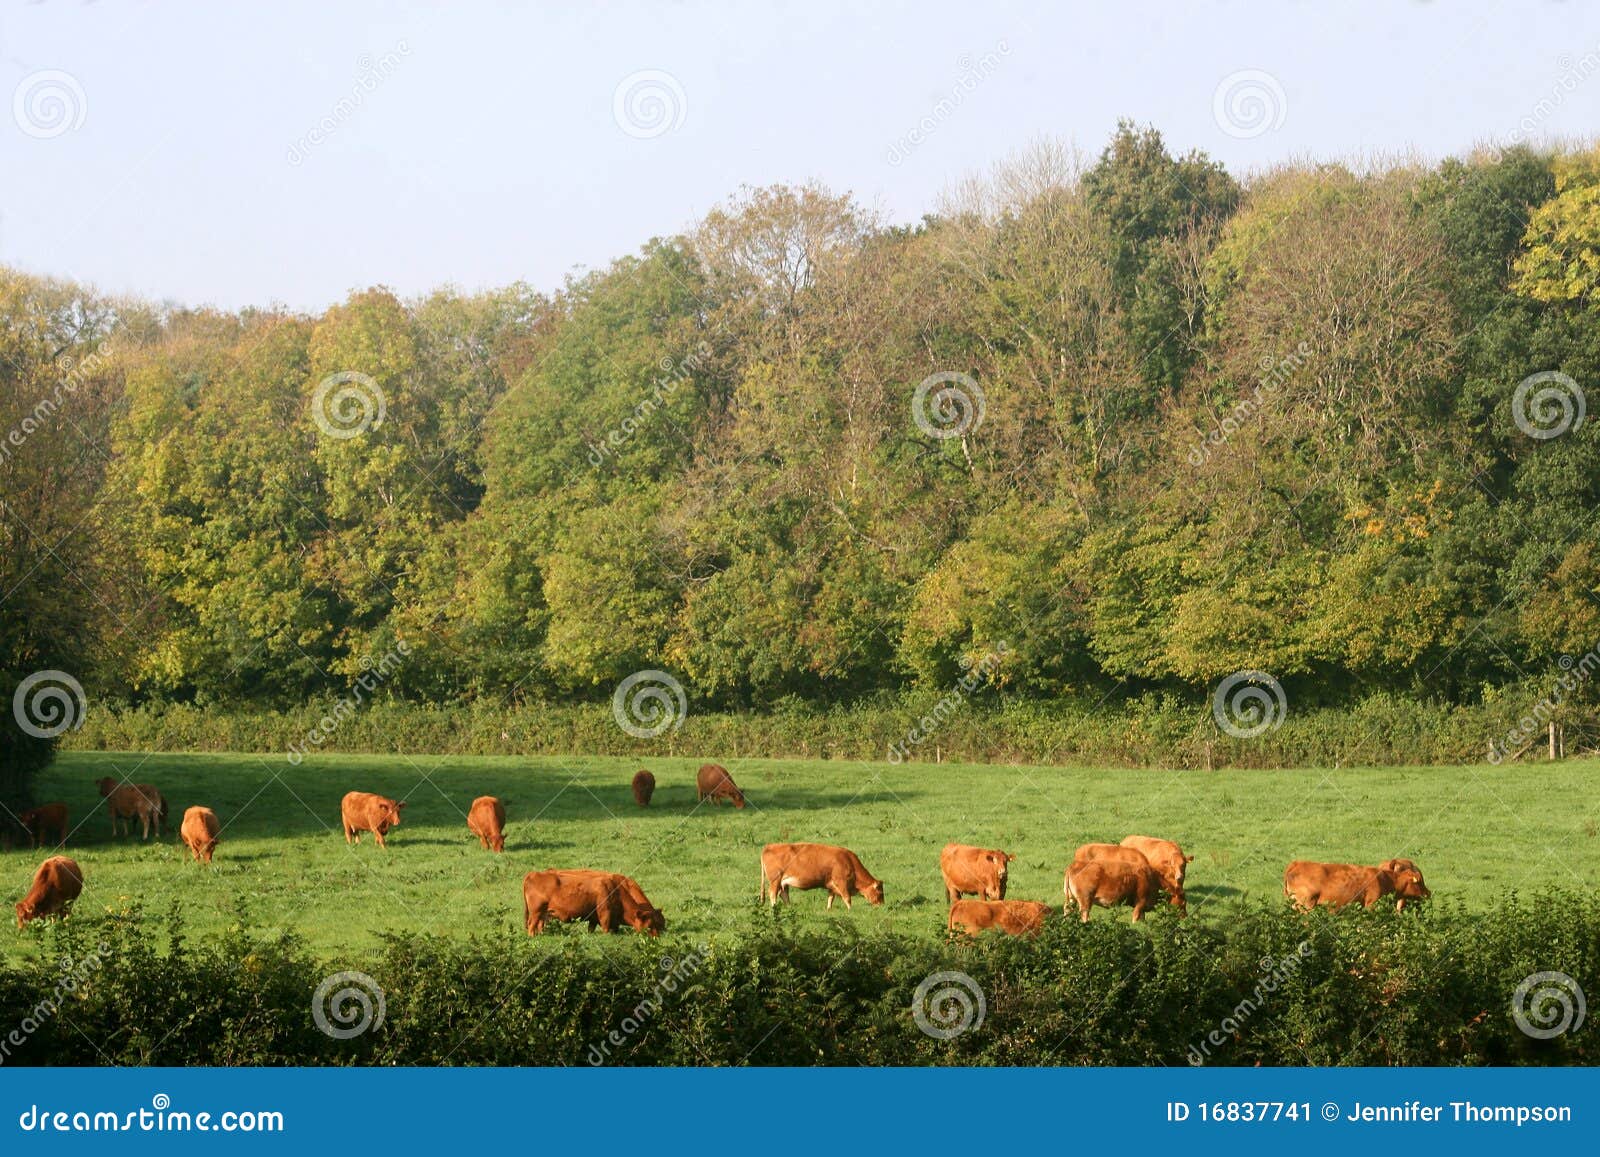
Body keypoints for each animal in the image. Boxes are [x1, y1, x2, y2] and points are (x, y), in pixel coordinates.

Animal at [522, 869, 665, 936]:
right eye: (649, 926)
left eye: (661, 924)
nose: (658, 937)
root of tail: (533, 874)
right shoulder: (604, 913)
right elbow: (606, 927)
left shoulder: (594, 918)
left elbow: (591, 928)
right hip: (536, 912)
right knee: (531, 924)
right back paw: (533, 936)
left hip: (544, 913)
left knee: (539, 924)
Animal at [1283, 860, 1431, 911]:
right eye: (1420, 881)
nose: (1428, 893)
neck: (1385, 879)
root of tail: (1297, 863)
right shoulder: (1372, 904)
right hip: (1305, 905)